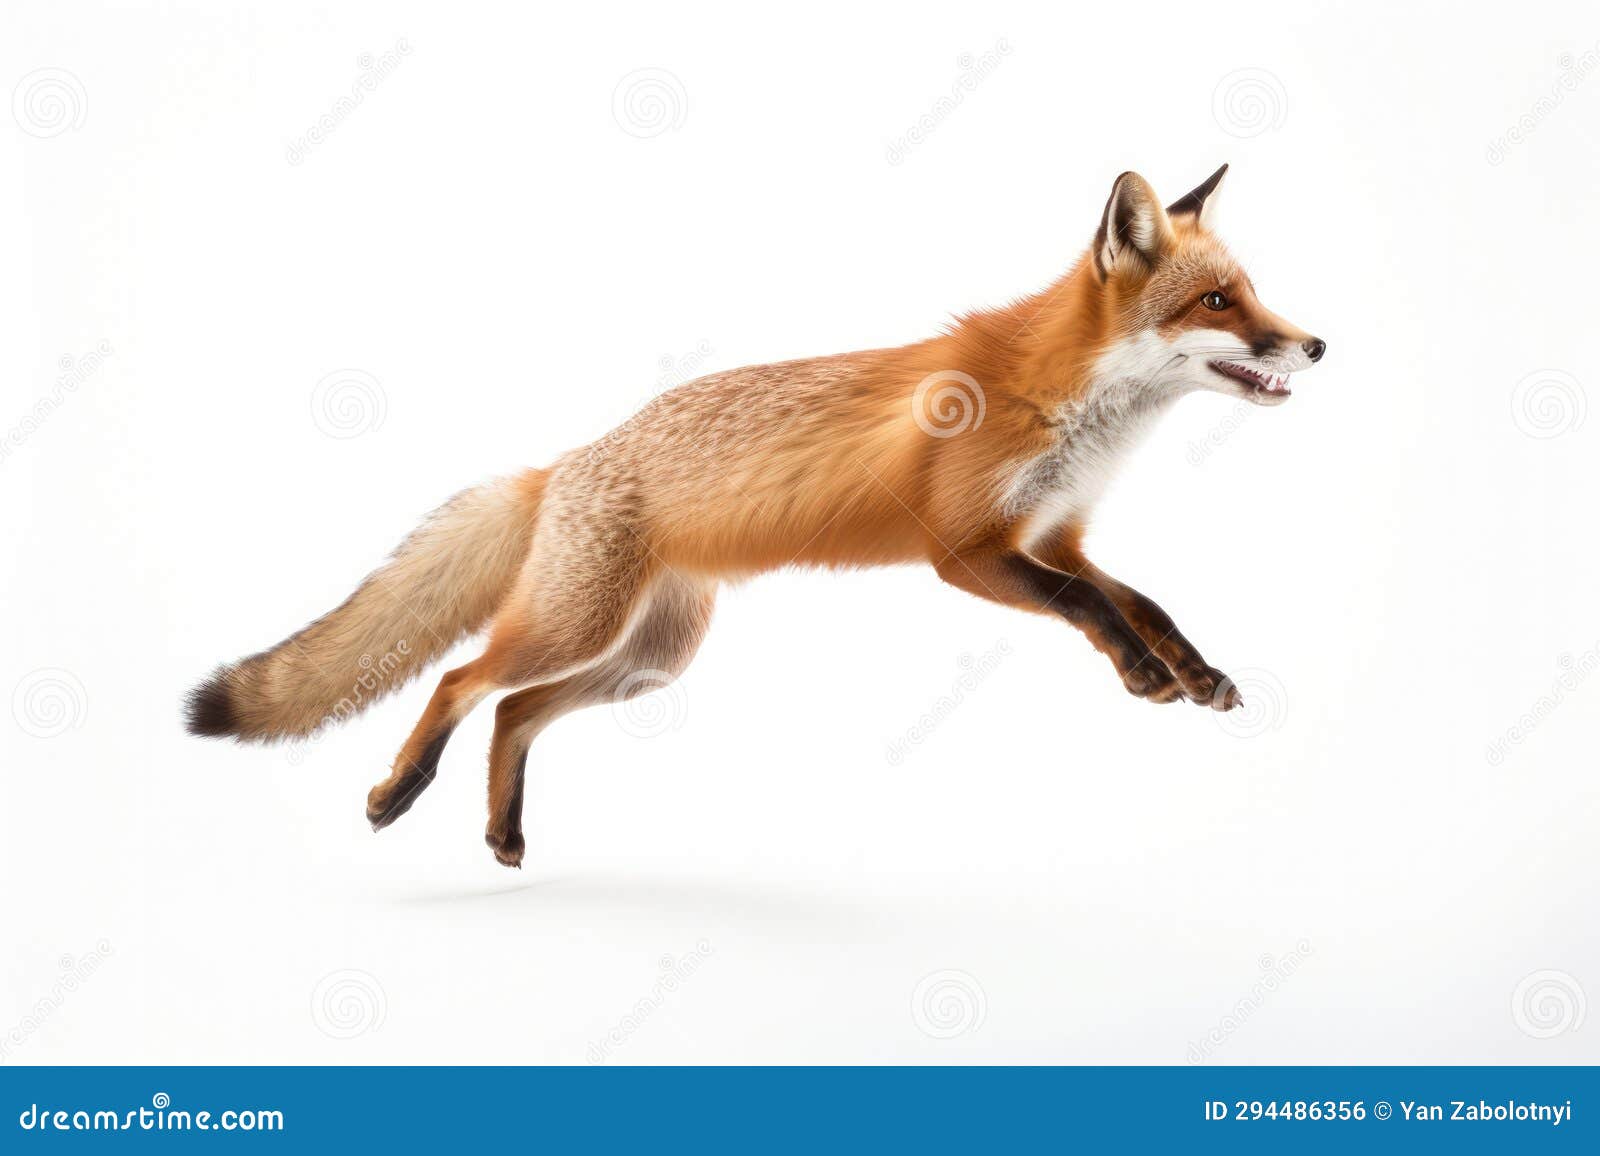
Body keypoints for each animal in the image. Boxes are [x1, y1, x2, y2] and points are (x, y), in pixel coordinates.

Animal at [186, 164, 1325, 867]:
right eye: (1218, 303)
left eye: (1251, 292)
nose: (1316, 345)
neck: (1070, 406)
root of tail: (562, 464)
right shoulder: (966, 550)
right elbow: (1090, 609)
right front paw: (1142, 674)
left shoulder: (1051, 533)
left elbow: (1142, 601)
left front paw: (1192, 671)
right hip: (574, 628)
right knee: (461, 681)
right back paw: (398, 788)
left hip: (647, 658)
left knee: (513, 713)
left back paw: (503, 833)